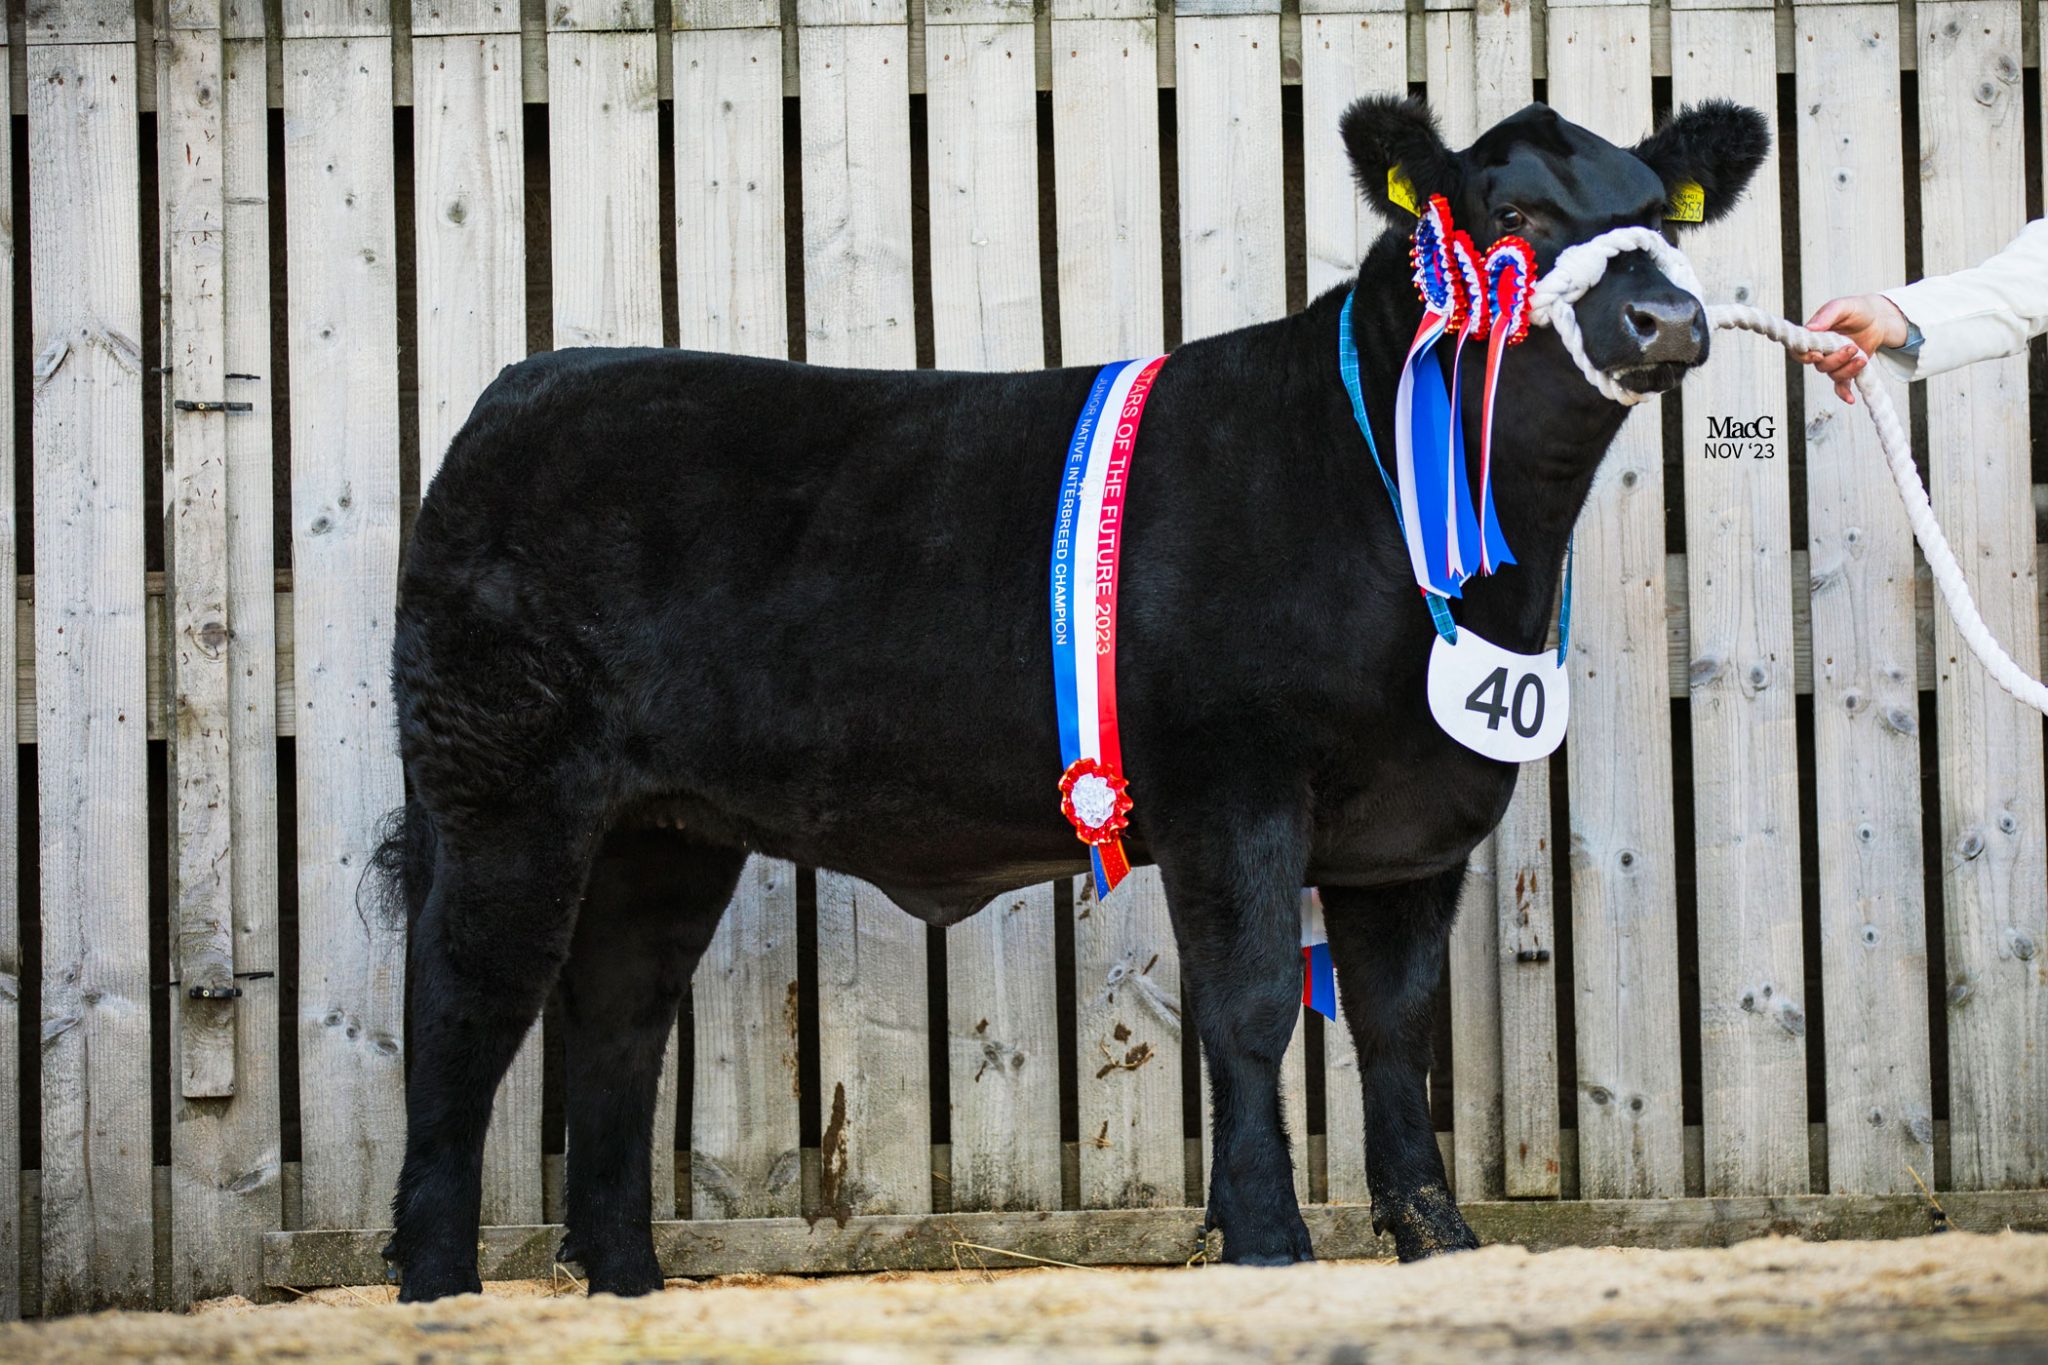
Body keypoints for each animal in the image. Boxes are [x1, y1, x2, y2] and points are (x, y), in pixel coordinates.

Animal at [374, 94, 1769, 1300]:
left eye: (1664, 214)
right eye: (1515, 214)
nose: (1664, 320)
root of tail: (525, 388)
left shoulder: (1411, 829)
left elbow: (1393, 1032)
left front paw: (1439, 1243)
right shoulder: (1228, 785)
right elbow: (1250, 1008)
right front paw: (1265, 1239)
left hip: (661, 831)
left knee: (616, 1019)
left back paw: (624, 1282)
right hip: (504, 789)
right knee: (461, 1002)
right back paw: (439, 1281)